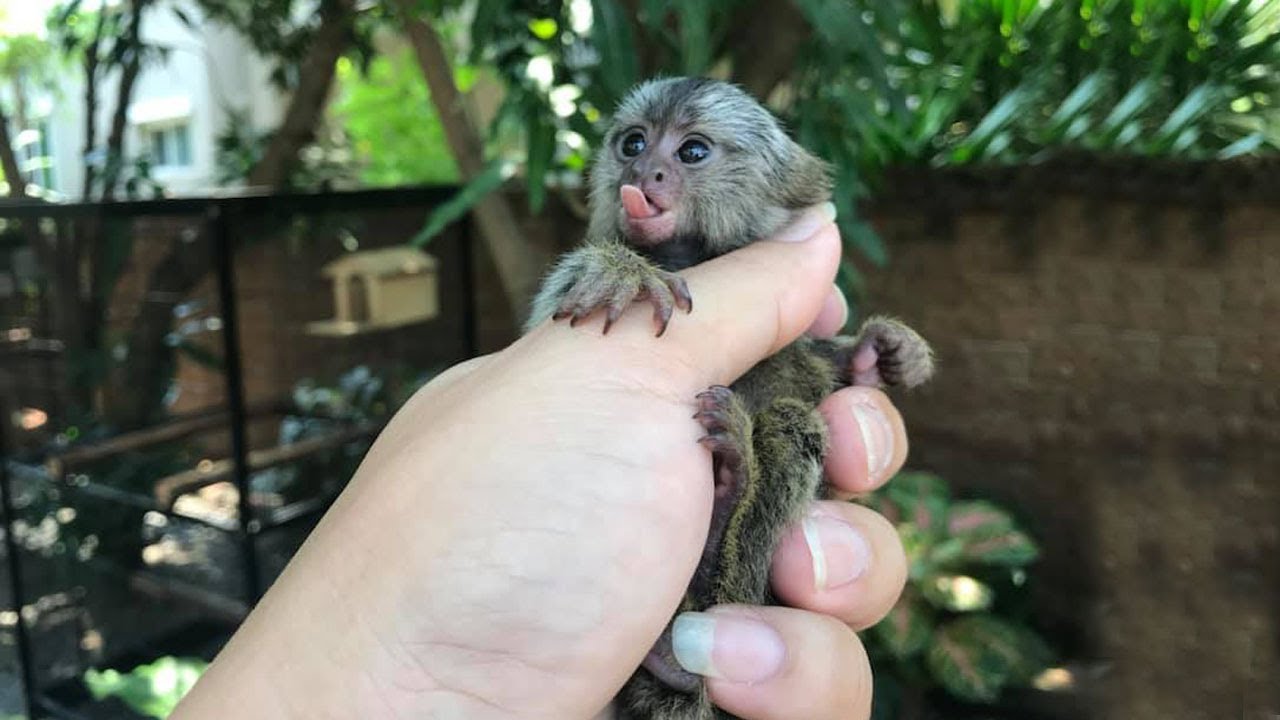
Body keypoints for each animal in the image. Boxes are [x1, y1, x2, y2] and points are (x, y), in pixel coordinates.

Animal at [524, 77, 935, 720]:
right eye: (632, 143)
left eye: (692, 152)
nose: (642, 171)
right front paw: (617, 270)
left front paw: (881, 355)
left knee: (792, 426)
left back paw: (728, 495)